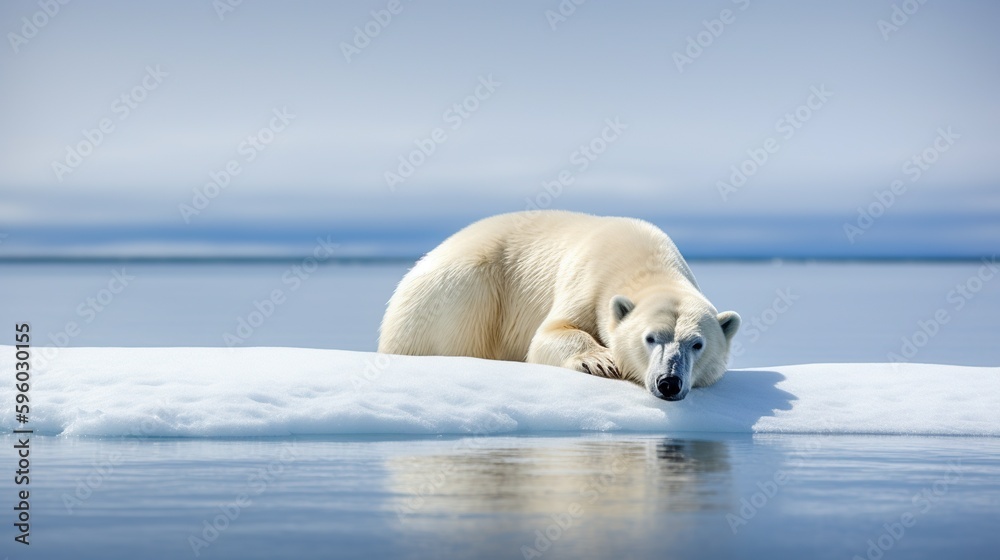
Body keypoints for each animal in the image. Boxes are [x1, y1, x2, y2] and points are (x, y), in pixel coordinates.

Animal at [377, 210, 741, 401]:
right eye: (650, 338)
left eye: (697, 344)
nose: (669, 382)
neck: (642, 261)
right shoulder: (586, 280)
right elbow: (548, 335)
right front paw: (600, 360)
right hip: (462, 293)